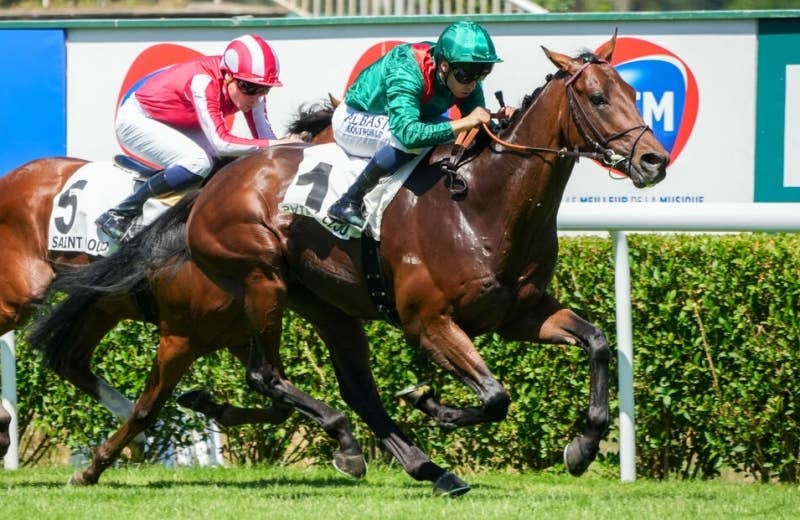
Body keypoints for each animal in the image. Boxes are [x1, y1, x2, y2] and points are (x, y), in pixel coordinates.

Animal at [4, 103, 366, 478]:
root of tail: (15, 177)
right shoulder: (182, 335)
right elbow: (150, 408)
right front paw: (95, 466)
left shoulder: (237, 333)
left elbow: (278, 401)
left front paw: (206, 403)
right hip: (20, 295)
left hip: (101, 306)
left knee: (70, 361)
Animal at [182, 34, 669, 496]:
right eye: (597, 97)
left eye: (632, 91)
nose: (655, 160)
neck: (481, 205)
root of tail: (219, 180)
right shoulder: (428, 323)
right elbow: (496, 397)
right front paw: (430, 402)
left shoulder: (520, 313)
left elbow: (598, 343)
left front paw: (583, 448)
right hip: (262, 280)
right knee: (266, 374)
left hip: (326, 302)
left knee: (357, 389)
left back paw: (421, 467)